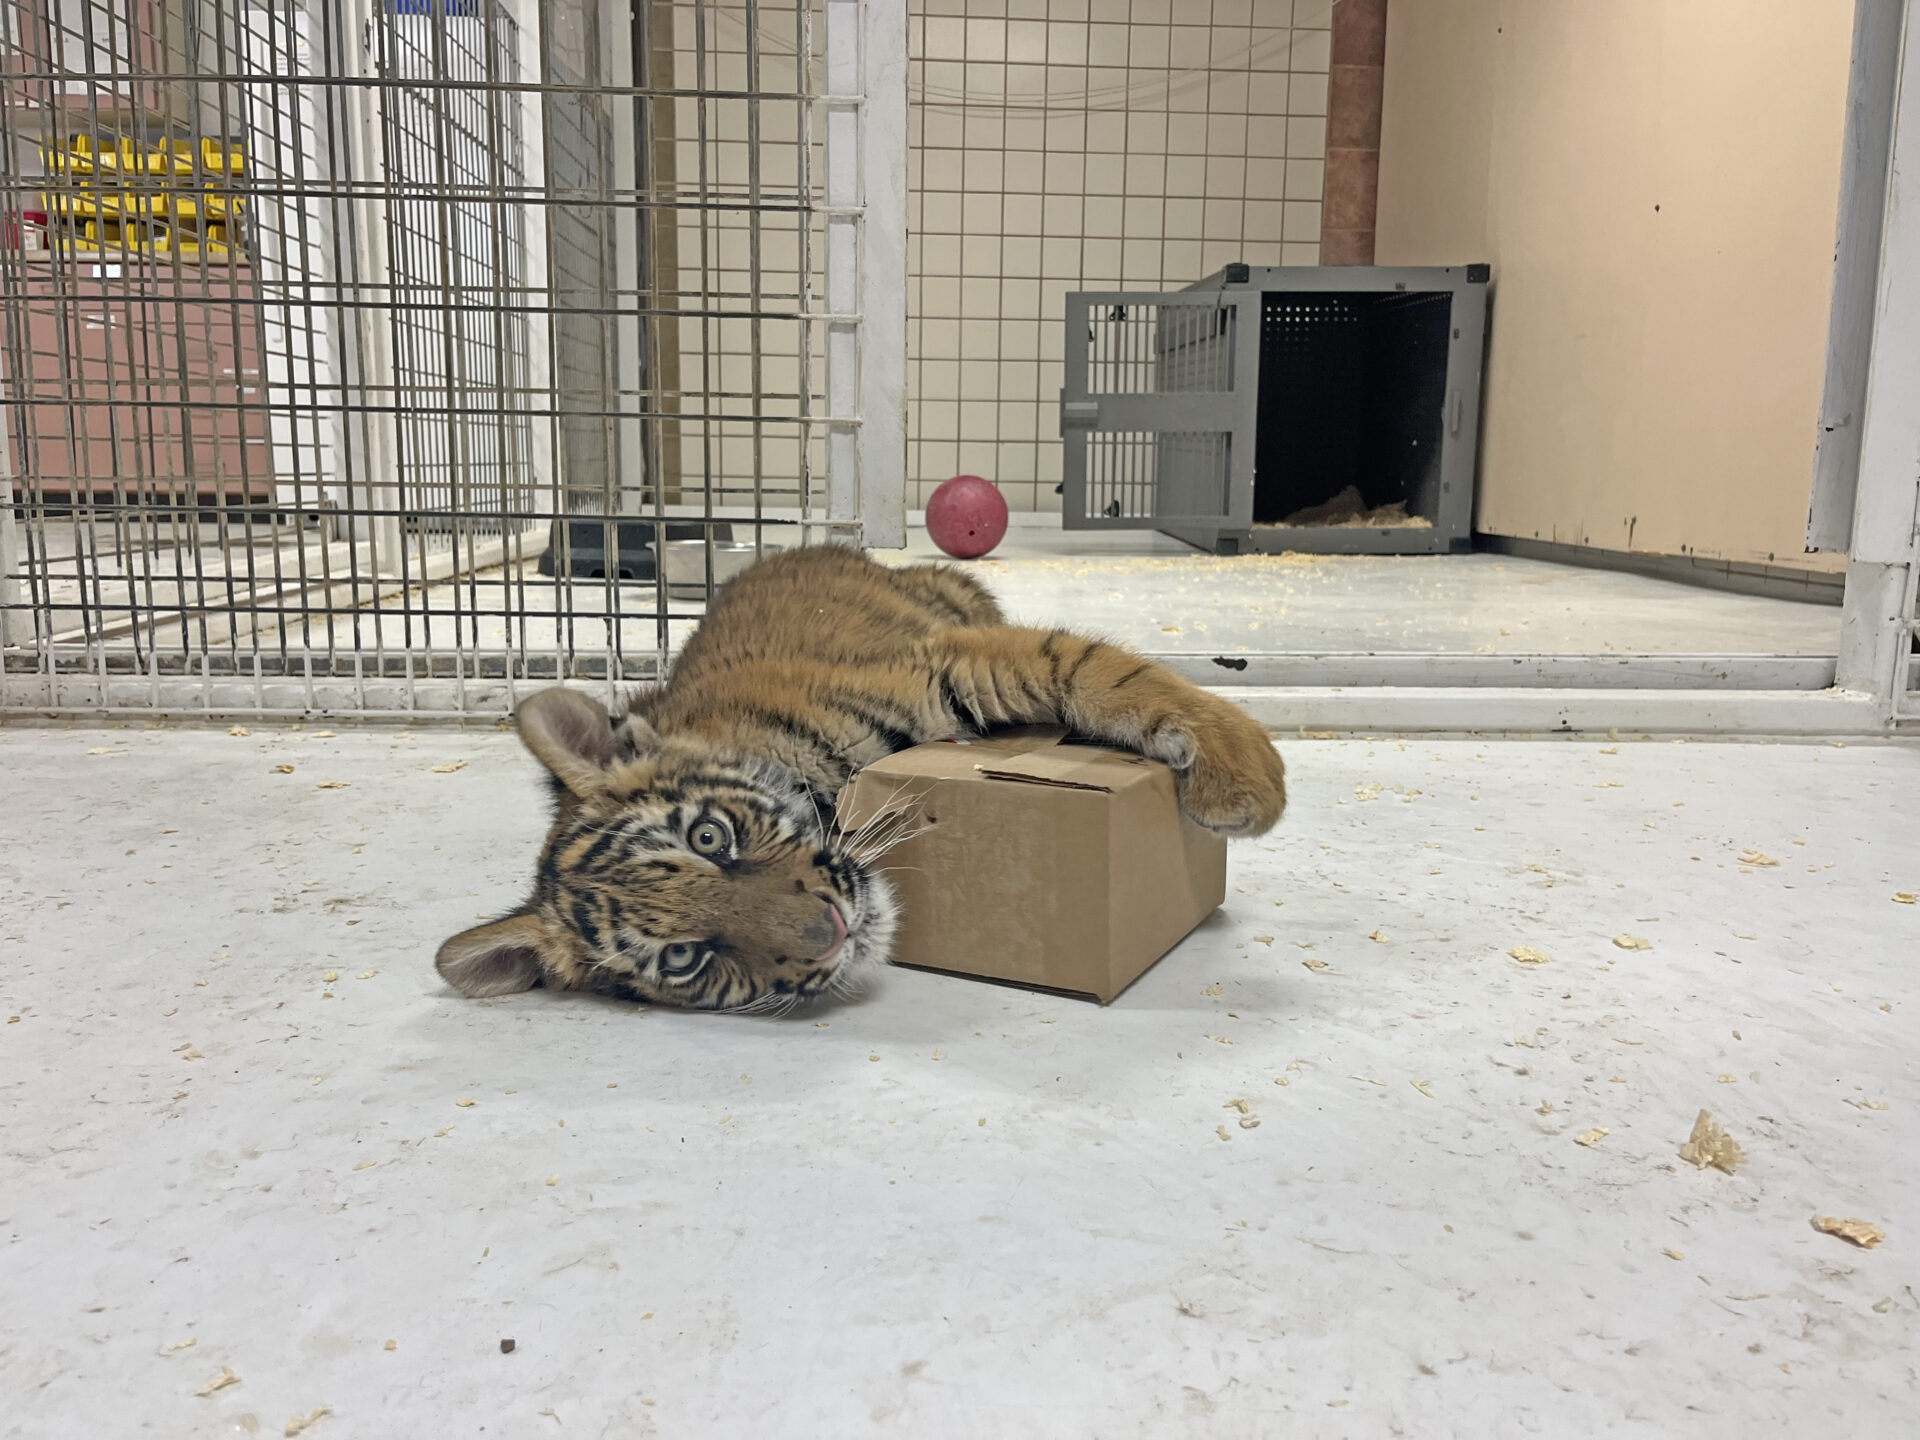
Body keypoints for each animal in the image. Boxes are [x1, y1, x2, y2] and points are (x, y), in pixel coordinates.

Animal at [435, 544, 1287, 1012]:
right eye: (682, 959)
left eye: (709, 836)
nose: (834, 932)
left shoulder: (951, 666)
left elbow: (1097, 669)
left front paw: (1246, 780)